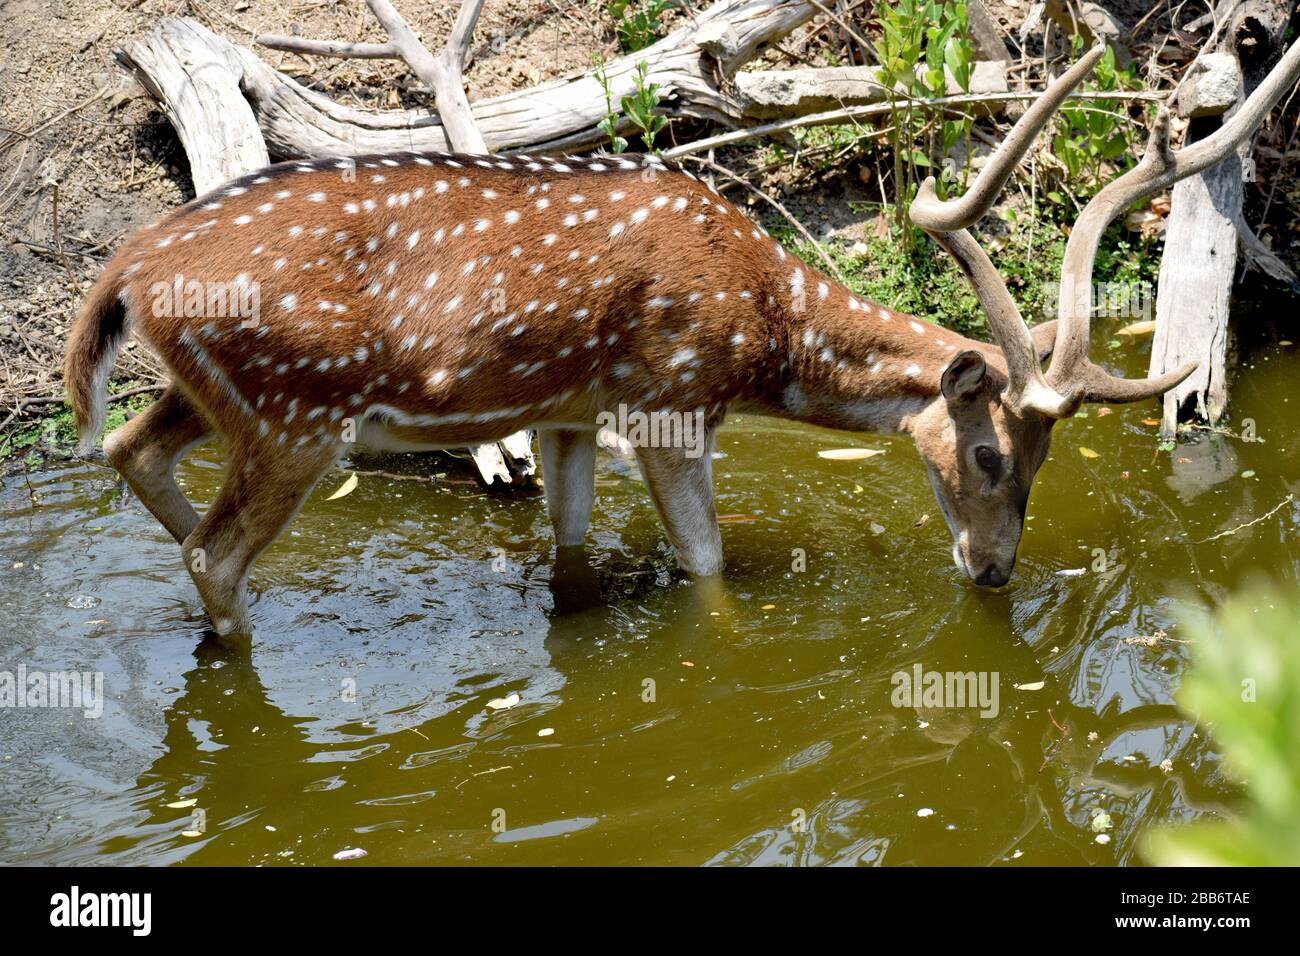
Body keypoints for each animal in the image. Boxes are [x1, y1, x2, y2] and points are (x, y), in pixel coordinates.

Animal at [64, 40, 1300, 637]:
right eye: (991, 454)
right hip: (297, 412)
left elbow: (568, 550)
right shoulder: (665, 399)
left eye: (1041, 465)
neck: (763, 329)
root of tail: (127, 268)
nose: (993, 570)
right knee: (208, 548)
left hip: (217, 395)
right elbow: (704, 567)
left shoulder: (566, 409)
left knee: (129, 450)